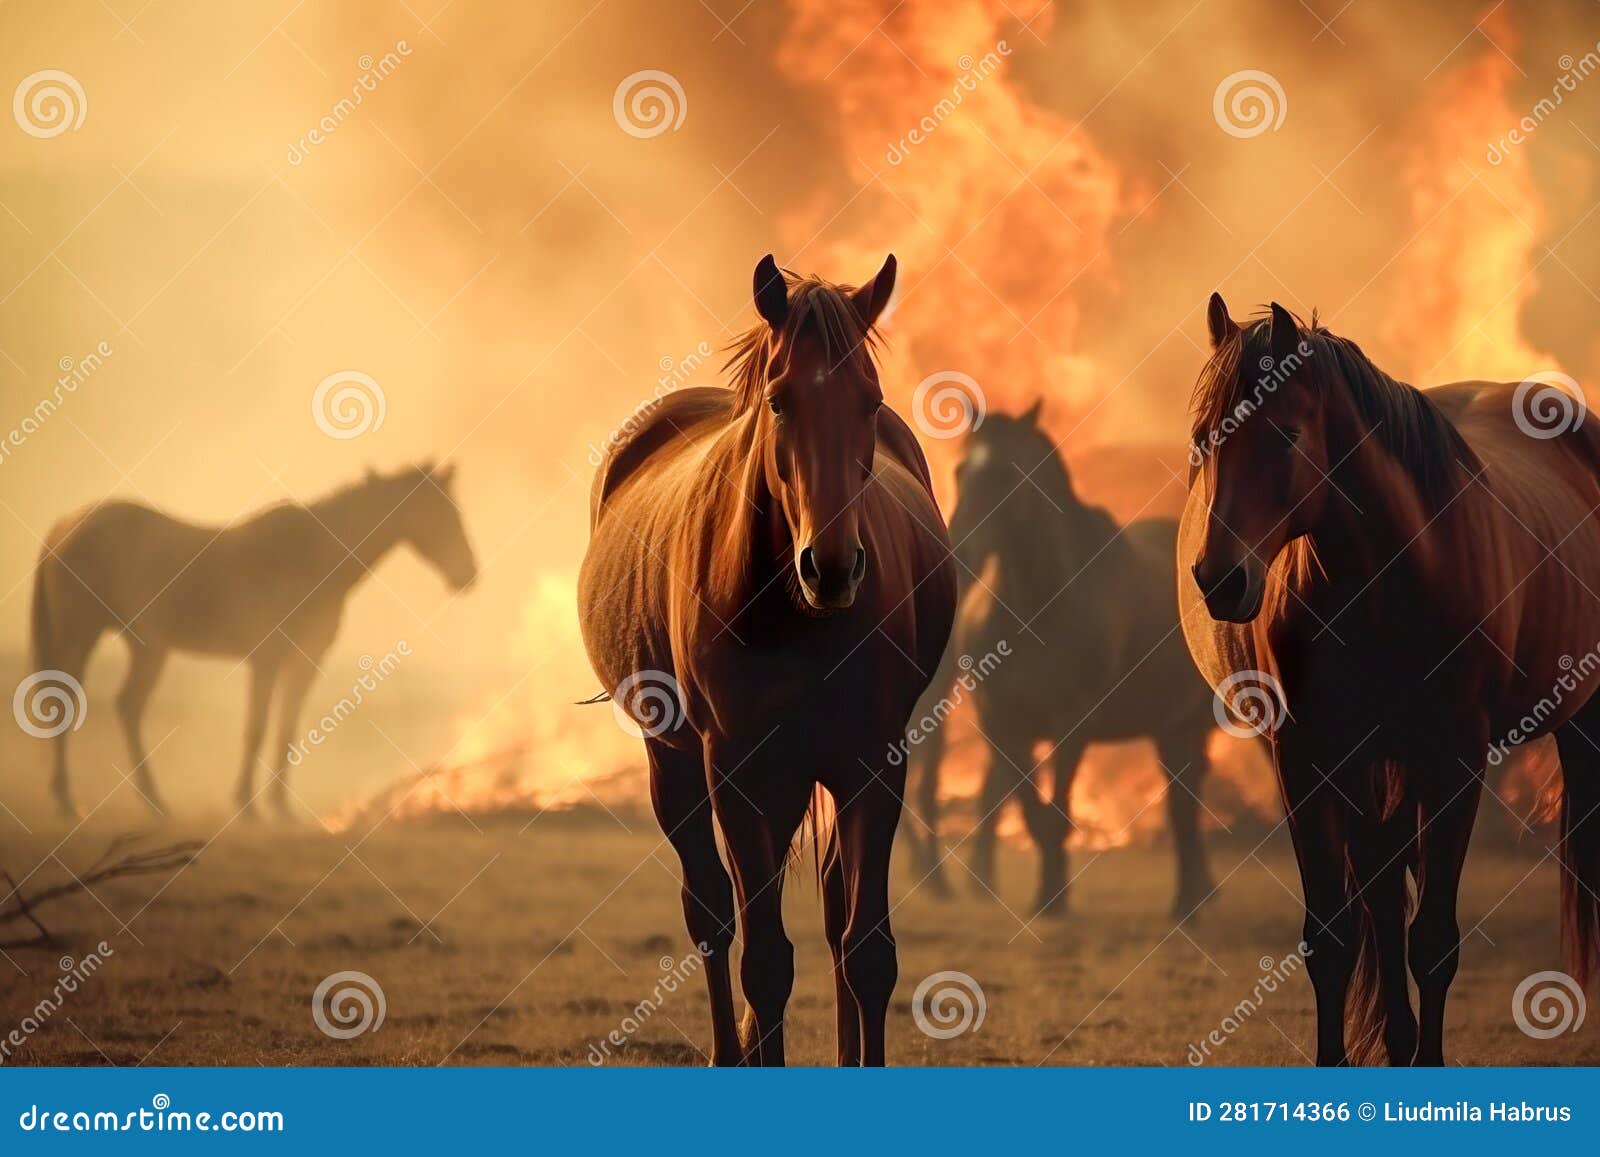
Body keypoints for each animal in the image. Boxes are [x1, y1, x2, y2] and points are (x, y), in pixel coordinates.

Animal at [30, 462, 477, 818]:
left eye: (455, 511)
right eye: (440, 514)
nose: (469, 574)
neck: (313, 558)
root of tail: (64, 528)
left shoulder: (304, 662)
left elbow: (286, 730)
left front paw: (280, 807)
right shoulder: (266, 660)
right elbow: (257, 729)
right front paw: (247, 805)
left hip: (138, 646)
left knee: (124, 707)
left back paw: (147, 800)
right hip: (84, 635)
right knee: (73, 704)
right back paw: (75, 800)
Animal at [577, 255, 956, 1066]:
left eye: (870, 400)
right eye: (780, 402)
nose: (833, 568)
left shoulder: (873, 763)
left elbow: (866, 949)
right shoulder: (736, 768)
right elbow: (764, 960)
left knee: (832, 915)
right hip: (678, 763)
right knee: (712, 916)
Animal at [900, 405, 1228, 918]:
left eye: (1005, 473)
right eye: (961, 470)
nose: (955, 554)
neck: (1035, 606)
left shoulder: (1072, 724)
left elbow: (1055, 812)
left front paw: (1052, 899)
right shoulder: (1002, 725)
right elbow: (1028, 808)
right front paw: (1044, 894)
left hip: (1187, 724)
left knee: (1184, 807)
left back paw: (1187, 903)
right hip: (1169, 729)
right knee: (1183, 804)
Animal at [1181, 294, 1600, 1065]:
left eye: (1286, 434)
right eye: (1204, 436)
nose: (1220, 579)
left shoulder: (1455, 761)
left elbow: (1432, 941)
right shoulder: (1309, 758)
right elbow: (1333, 938)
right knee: (1378, 884)